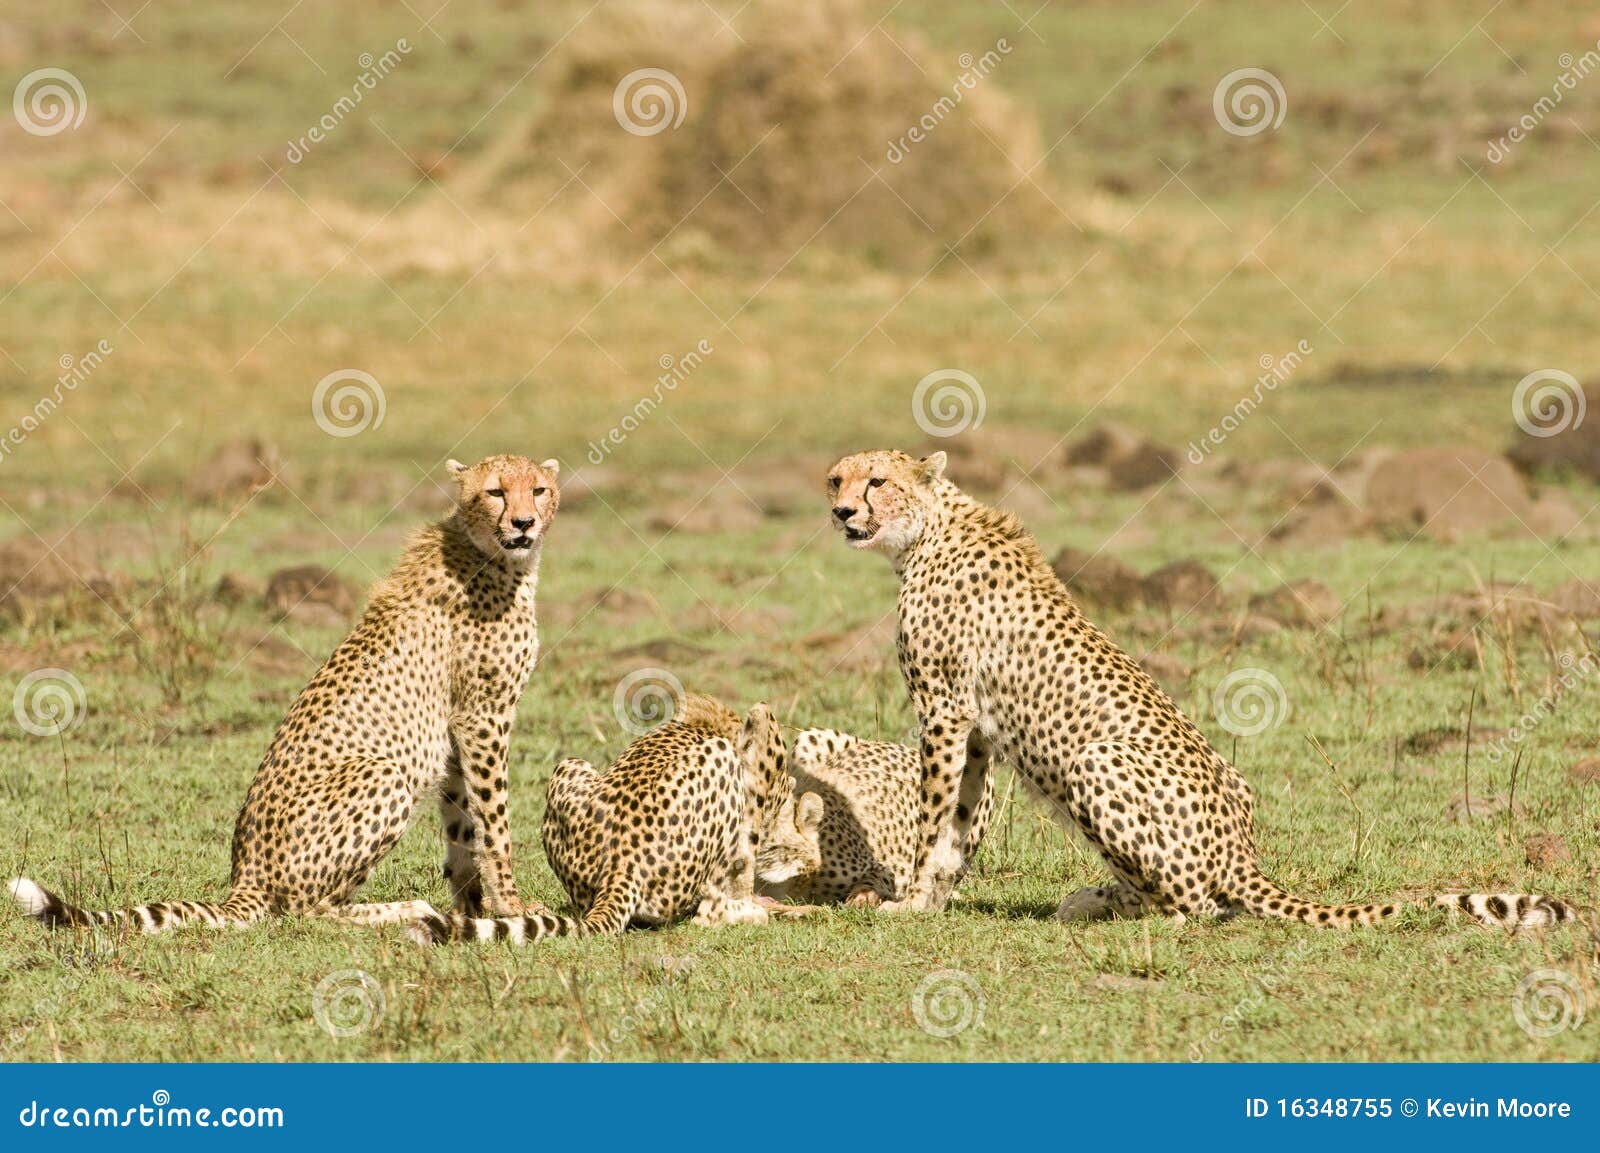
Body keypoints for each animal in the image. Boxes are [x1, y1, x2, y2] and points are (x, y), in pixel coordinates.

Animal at [10, 453, 561, 935]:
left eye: (538, 489)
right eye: (495, 492)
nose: (524, 524)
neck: (491, 554)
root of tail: (245, 877)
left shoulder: (457, 729)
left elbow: (463, 826)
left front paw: (473, 909)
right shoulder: (484, 717)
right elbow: (495, 821)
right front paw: (511, 907)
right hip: (383, 772)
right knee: (305, 909)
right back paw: (406, 911)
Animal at [408, 693, 798, 944]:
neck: (700, 724)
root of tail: (621, 864)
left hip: (569, 765)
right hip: (718, 763)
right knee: (707, 914)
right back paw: (759, 915)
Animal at [825, 448, 1578, 932]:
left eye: (878, 480)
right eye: (836, 478)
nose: (840, 512)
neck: (926, 528)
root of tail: (1243, 852)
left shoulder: (944, 712)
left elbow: (932, 818)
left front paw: (907, 900)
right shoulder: (975, 727)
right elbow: (959, 821)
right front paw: (933, 899)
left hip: (1094, 761)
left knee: (1197, 906)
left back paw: (1106, 907)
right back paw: (1096, 898)